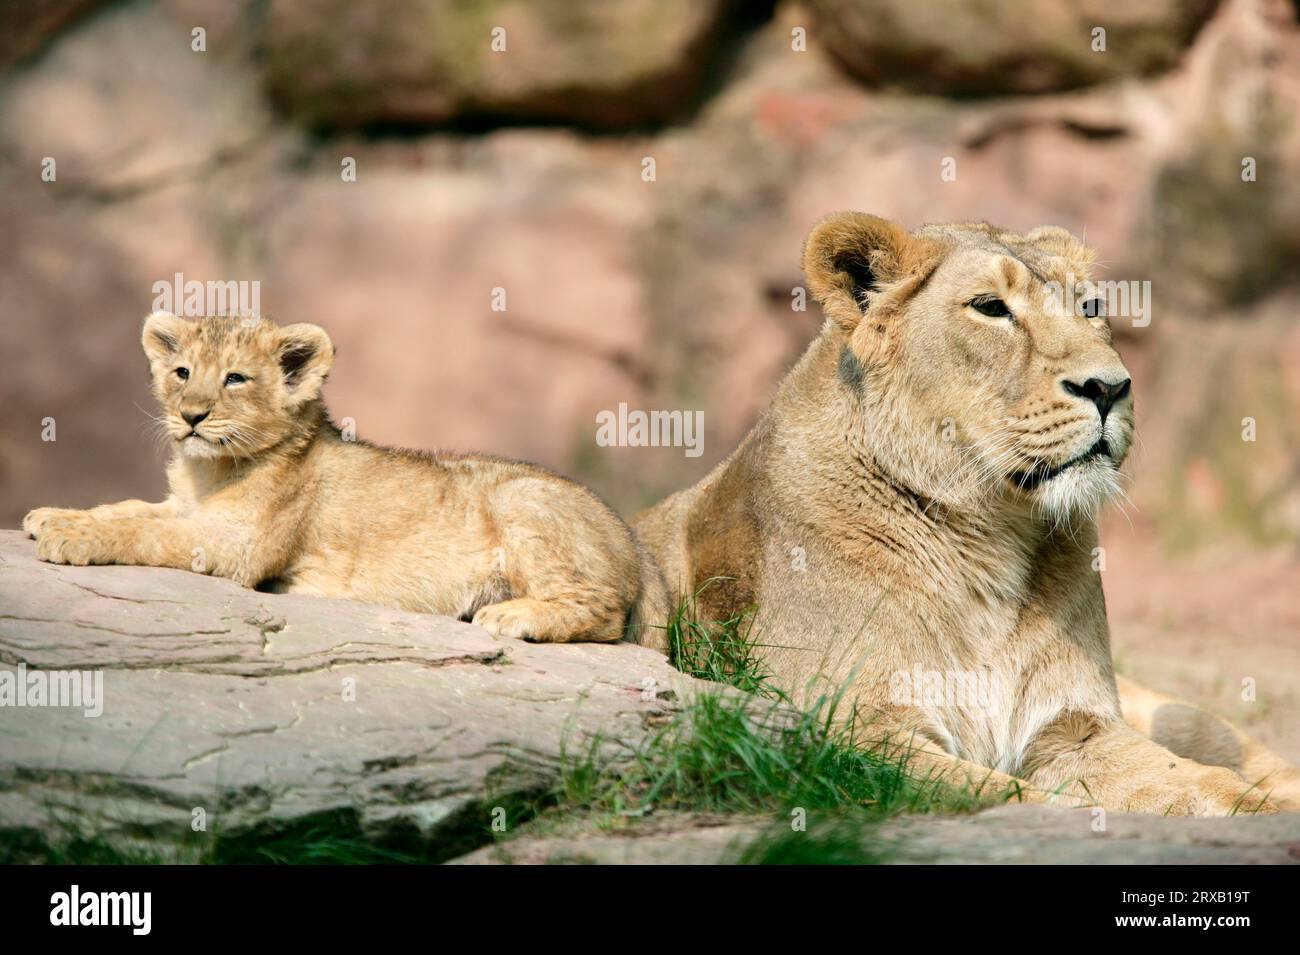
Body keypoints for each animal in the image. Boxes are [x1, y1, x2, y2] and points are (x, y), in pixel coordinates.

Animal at [24, 312, 670, 645]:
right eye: (182, 372)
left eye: (234, 378)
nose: (191, 416)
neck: (207, 469)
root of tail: (630, 537)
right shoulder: (185, 508)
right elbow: (128, 509)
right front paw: (49, 515)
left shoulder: (238, 546)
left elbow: (147, 533)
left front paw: (70, 537)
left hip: (523, 499)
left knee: (604, 612)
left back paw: (511, 617)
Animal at [634, 212, 1300, 815]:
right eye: (990, 308)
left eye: (1089, 306)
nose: (1110, 387)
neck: (989, 538)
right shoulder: (849, 736)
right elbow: (1031, 802)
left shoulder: (1074, 726)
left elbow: (1203, 786)